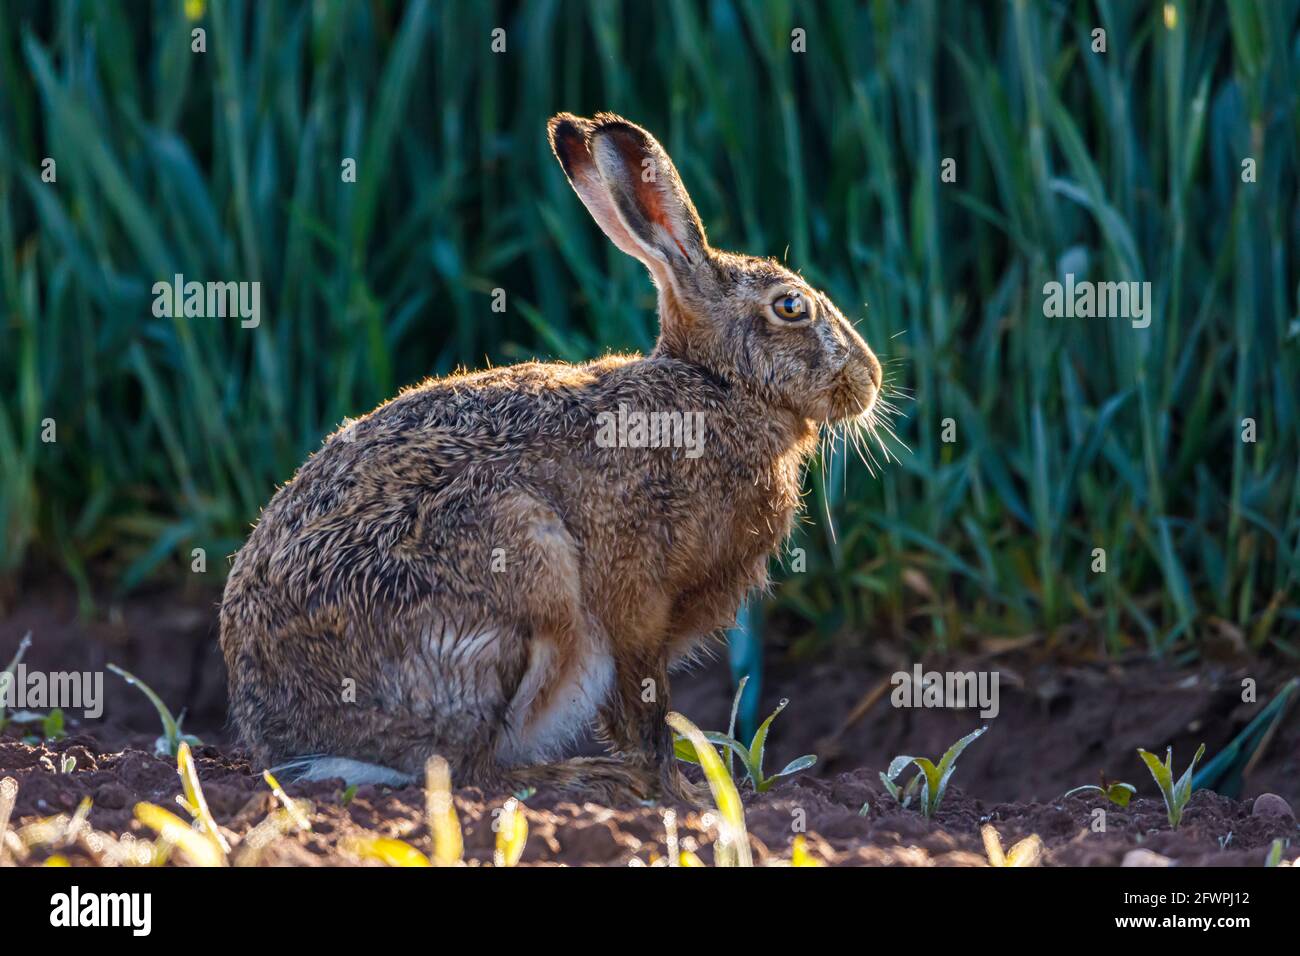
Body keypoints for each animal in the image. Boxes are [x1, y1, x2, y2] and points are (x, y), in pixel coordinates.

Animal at [219, 112, 884, 804]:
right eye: (791, 307)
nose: (870, 379)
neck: (717, 384)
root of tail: (285, 737)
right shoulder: (635, 603)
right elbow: (644, 706)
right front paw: (679, 792)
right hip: (523, 566)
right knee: (466, 770)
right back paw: (585, 780)